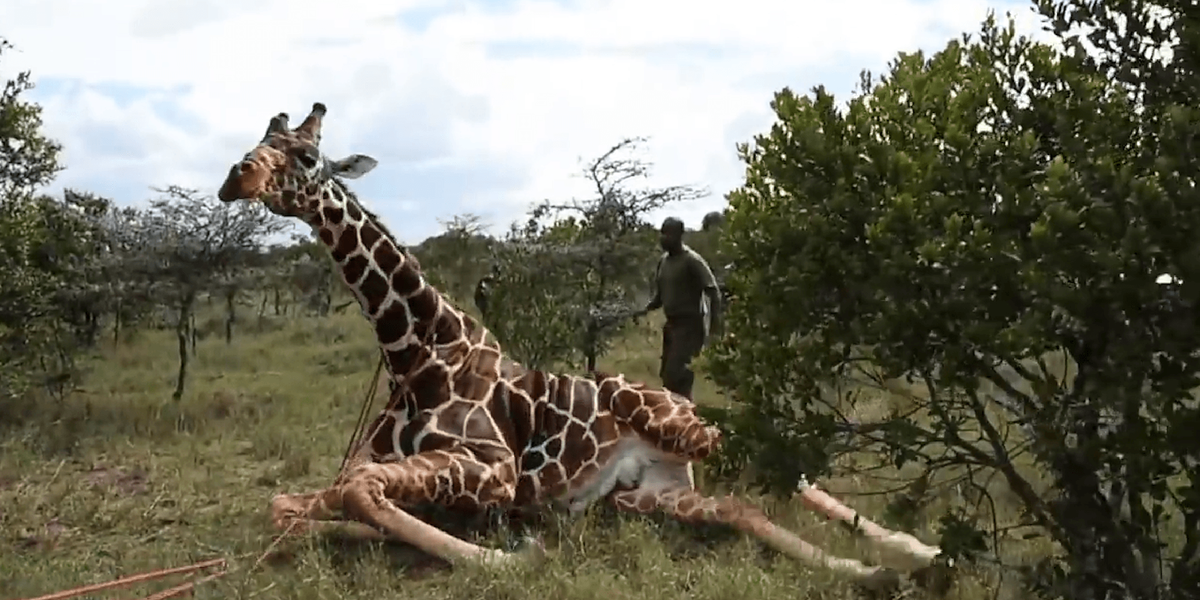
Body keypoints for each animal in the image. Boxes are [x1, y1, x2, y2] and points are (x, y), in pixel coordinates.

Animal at [215, 103, 948, 593]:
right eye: (258, 140)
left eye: (307, 157)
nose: (236, 177)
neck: (412, 350)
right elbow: (296, 505)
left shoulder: (493, 465)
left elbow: (360, 491)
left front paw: (514, 556)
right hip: (644, 496)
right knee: (739, 506)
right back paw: (870, 571)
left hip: (672, 418)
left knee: (780, 463)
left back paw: (918, 549)